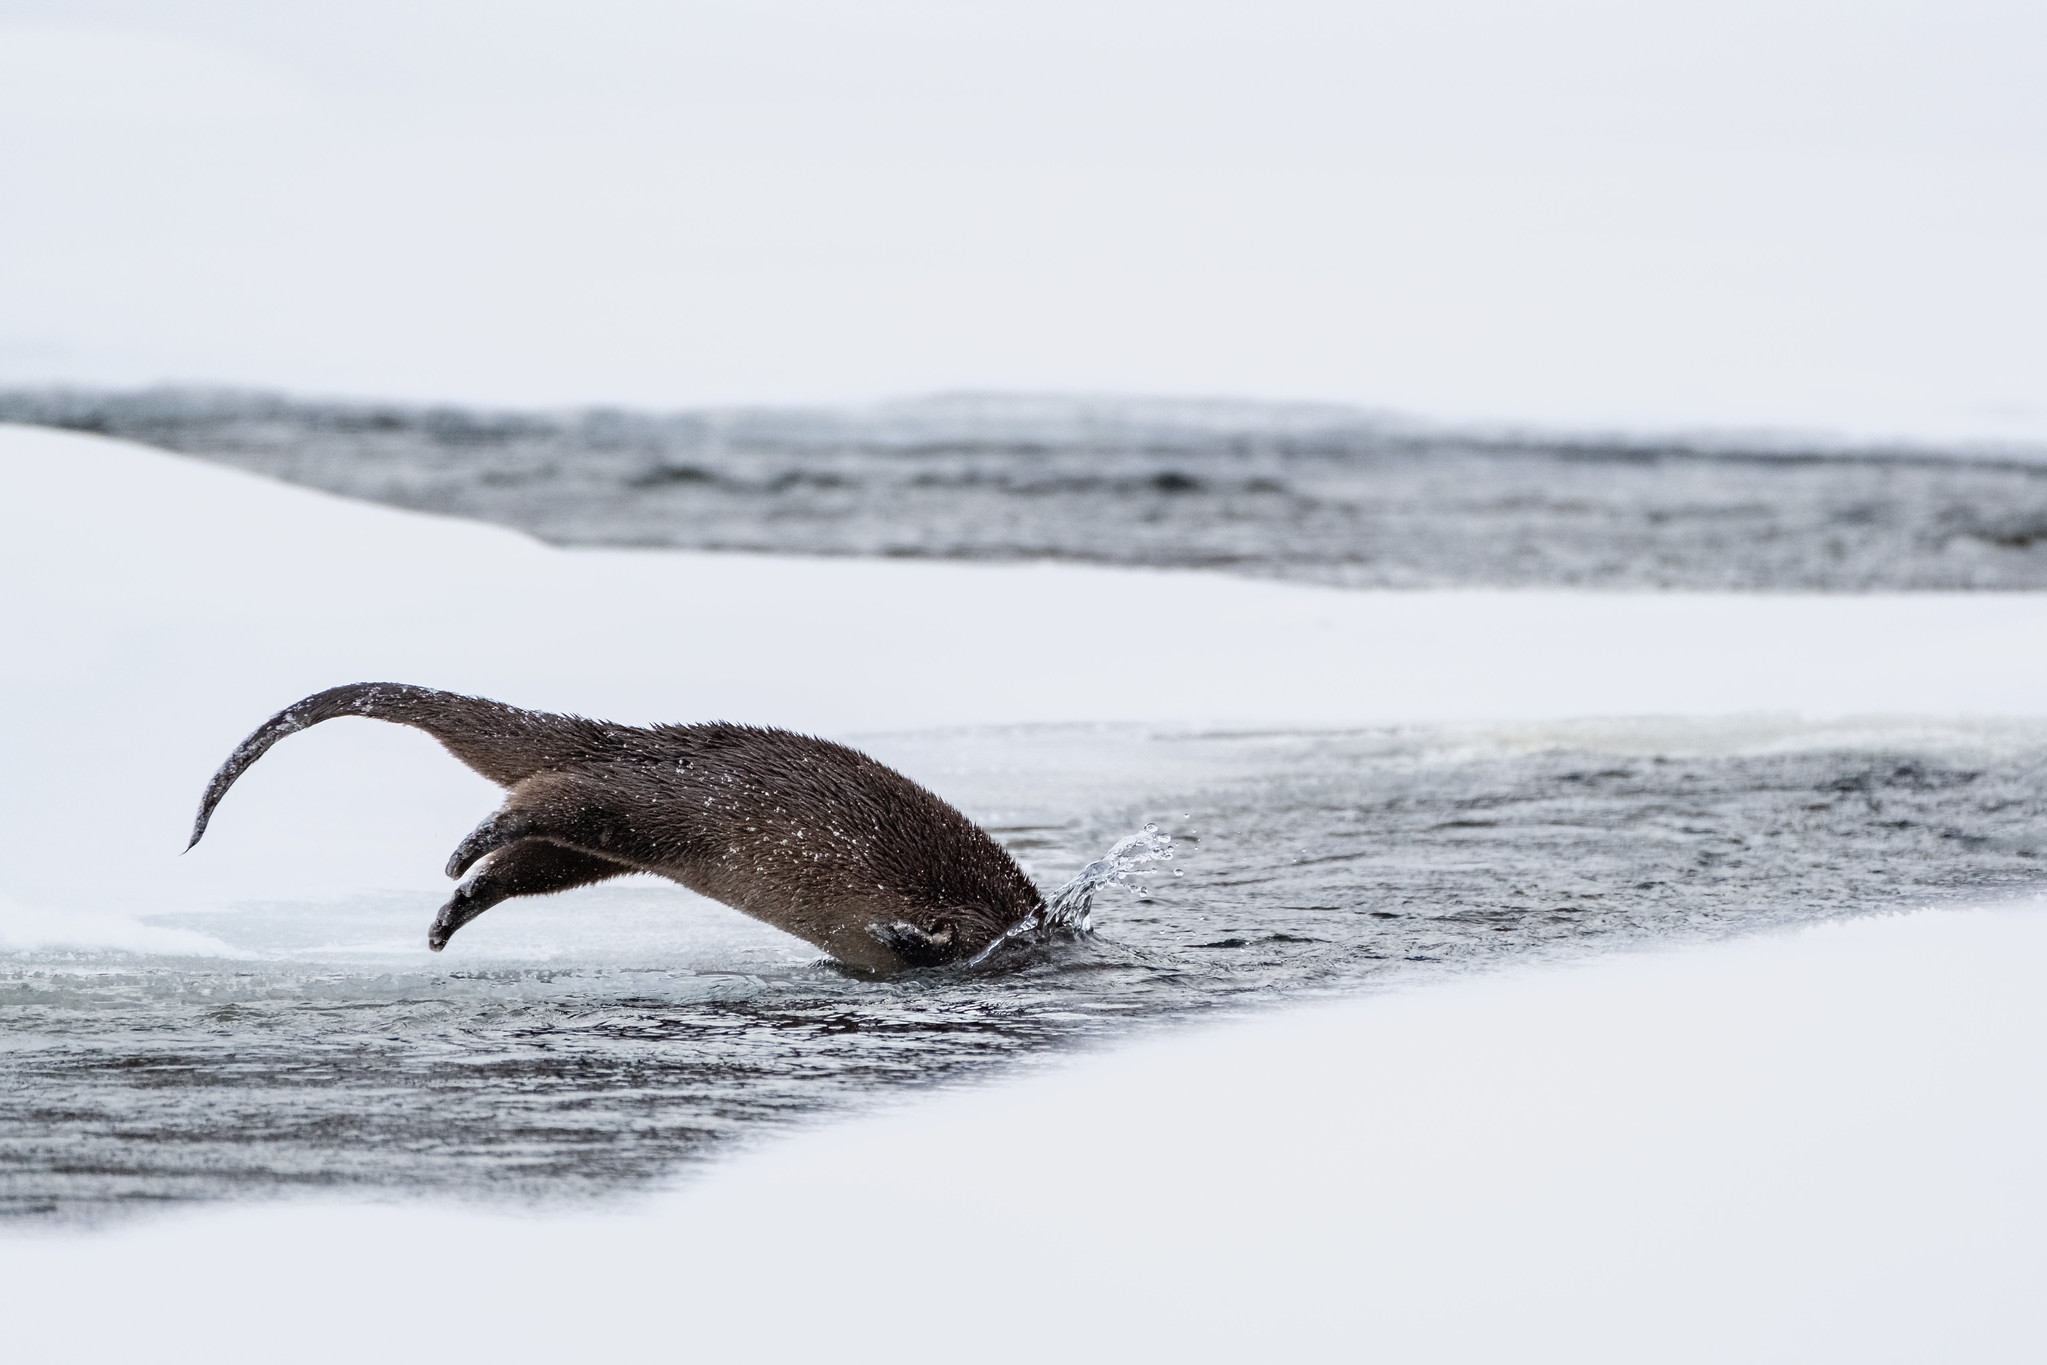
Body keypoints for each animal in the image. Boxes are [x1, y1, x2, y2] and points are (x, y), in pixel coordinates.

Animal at [186, 683, 1046, 971]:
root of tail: (623, 736)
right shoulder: (972, 910)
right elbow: (948, 933)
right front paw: (905, 933)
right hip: (670, 799)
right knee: (550, 798)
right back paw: (462, 852)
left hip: (635, 837)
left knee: (534, 857)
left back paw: (449, 912)